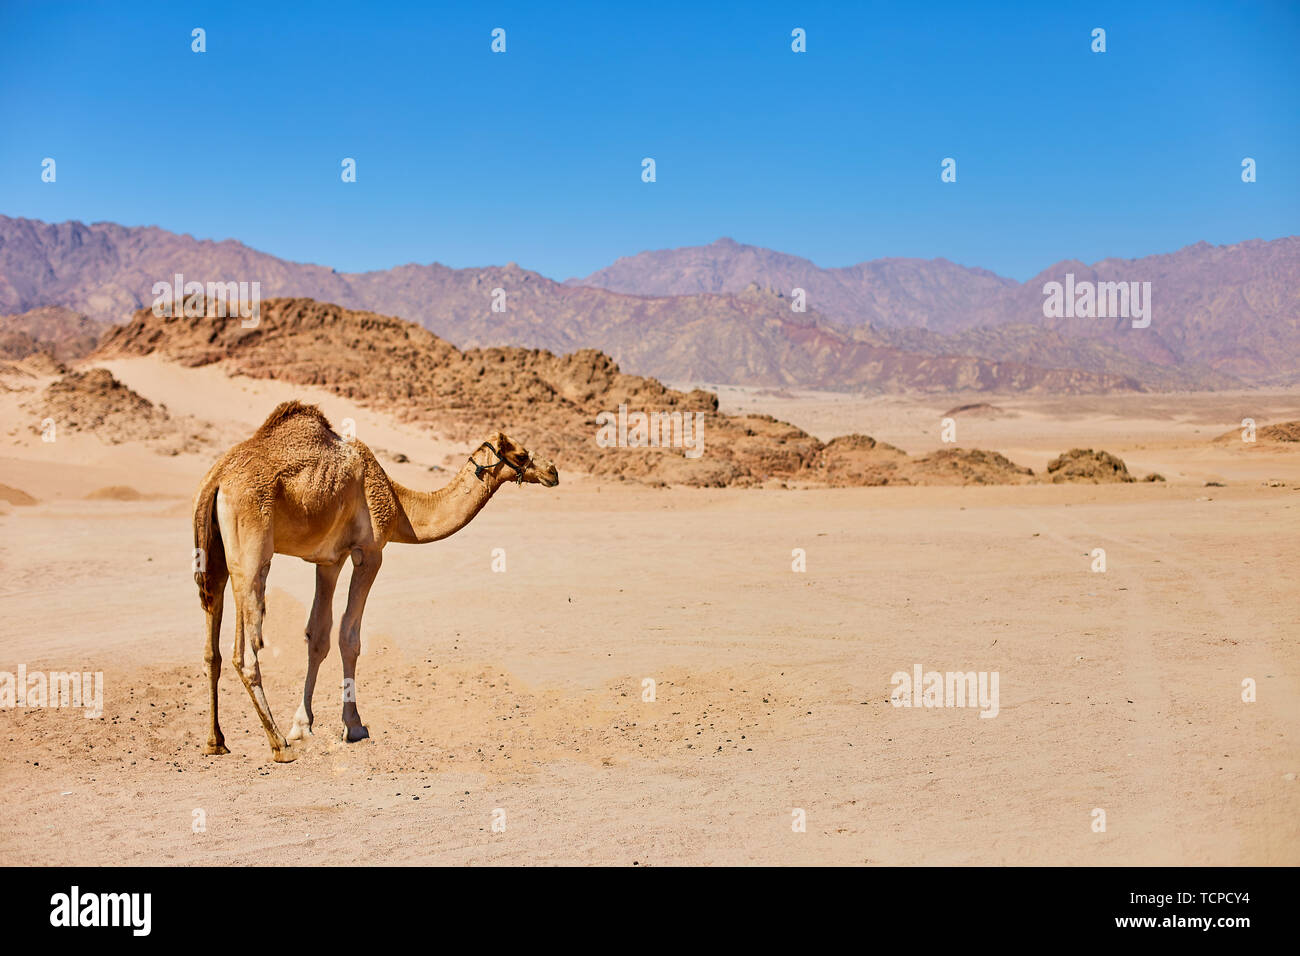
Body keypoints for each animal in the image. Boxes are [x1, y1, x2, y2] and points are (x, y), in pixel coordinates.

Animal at [191, 400, 558, 762]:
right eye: (521, 454)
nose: (552, 471)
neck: (398, 503)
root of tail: (217, 479)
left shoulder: (330, 560)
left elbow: (318, 635)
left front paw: (302, 726)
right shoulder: (369, 551)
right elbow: (349, 636)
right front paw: (353, 726)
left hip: (212, 555)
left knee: (212, 647)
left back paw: (216, 741)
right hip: (252, 550)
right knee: (245, 651)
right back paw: (278, 745)